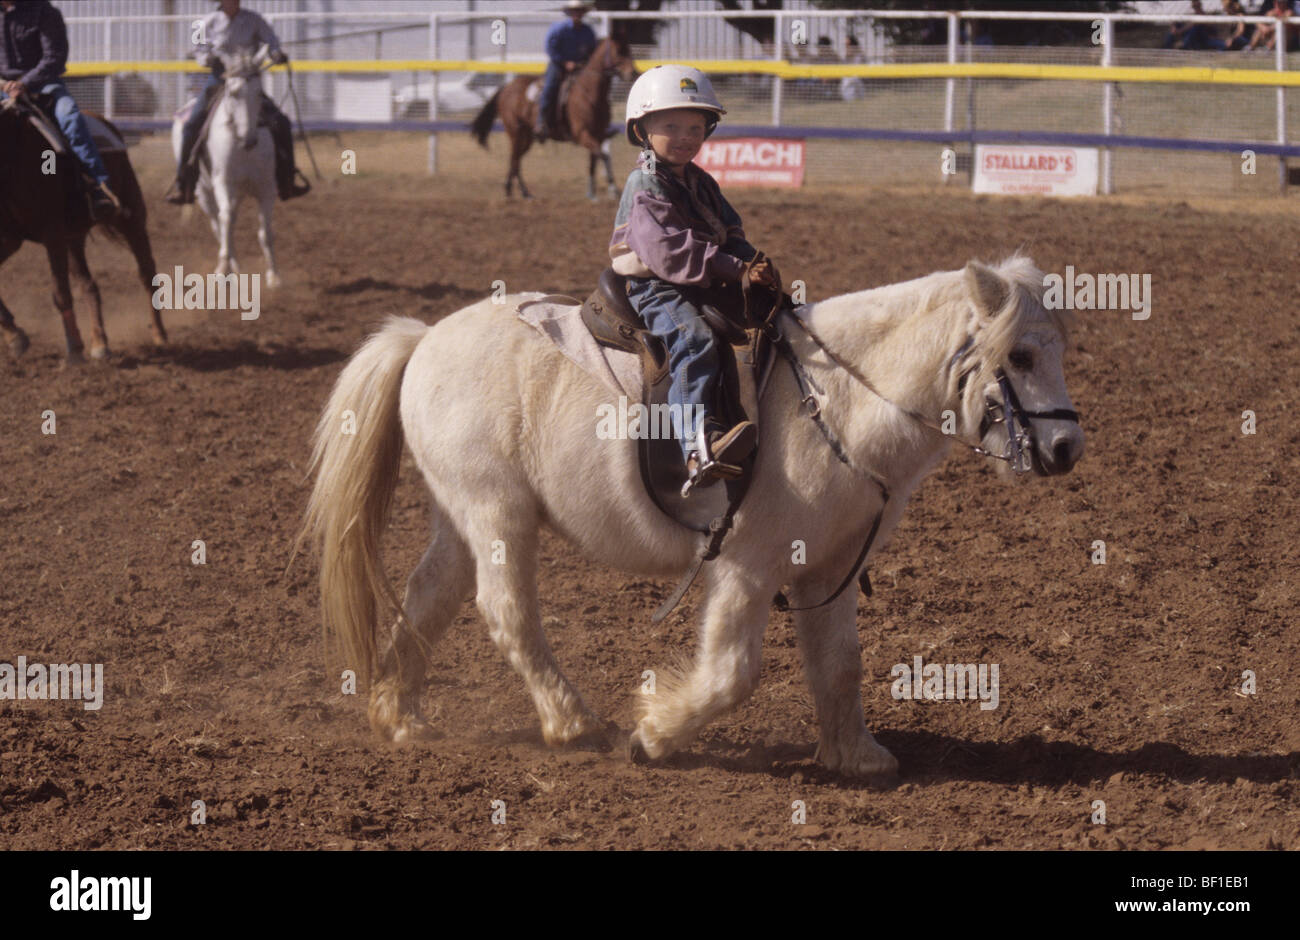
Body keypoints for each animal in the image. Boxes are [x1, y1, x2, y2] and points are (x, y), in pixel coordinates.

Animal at [0, 95, 167, 363]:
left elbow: (60, 293)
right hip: (74, 238)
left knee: (146, 273)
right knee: (89, 286)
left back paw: (159, 334)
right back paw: (99, 343)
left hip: (132, 218)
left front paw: (73, 350)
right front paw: (16, 338)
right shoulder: (11, 238)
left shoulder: (52, 235)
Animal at [173, 48, 281, 288]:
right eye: (232, 93)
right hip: (203, 192)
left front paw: (274, 276)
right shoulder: (223, 182)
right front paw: (223, 269)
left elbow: (265, 232)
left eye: (259, 93)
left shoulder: (266, 188)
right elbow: (225, 222)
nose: (249, 139)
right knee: (219, 223)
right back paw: (230, 268)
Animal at [297, 255, 1083, 785]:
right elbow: (733, 672)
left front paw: (857, 756)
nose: (1067, 447)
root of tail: (424, 337)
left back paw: (399, 716)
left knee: (430, 596)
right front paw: (654, 734)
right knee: (508, 611)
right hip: (497, 515)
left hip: (460, 516)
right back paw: (571, 722)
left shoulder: (828, 568)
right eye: (1019, 354)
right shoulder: (745, 567)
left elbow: (840, 664)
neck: (833, 398)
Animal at [470, 35, 638, 199]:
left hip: (527, 137)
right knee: (515, 160)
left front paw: (593, 193)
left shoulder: (598, 134)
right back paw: (522, 192)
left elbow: (596, 160)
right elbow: (603, 156)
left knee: (515, 160)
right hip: (515, 133)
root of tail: (506, 88)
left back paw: (513, 190)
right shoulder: (582, 134)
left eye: (629, 50)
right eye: (618, 51)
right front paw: (614, 189)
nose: (632, 73)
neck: (589, 92)